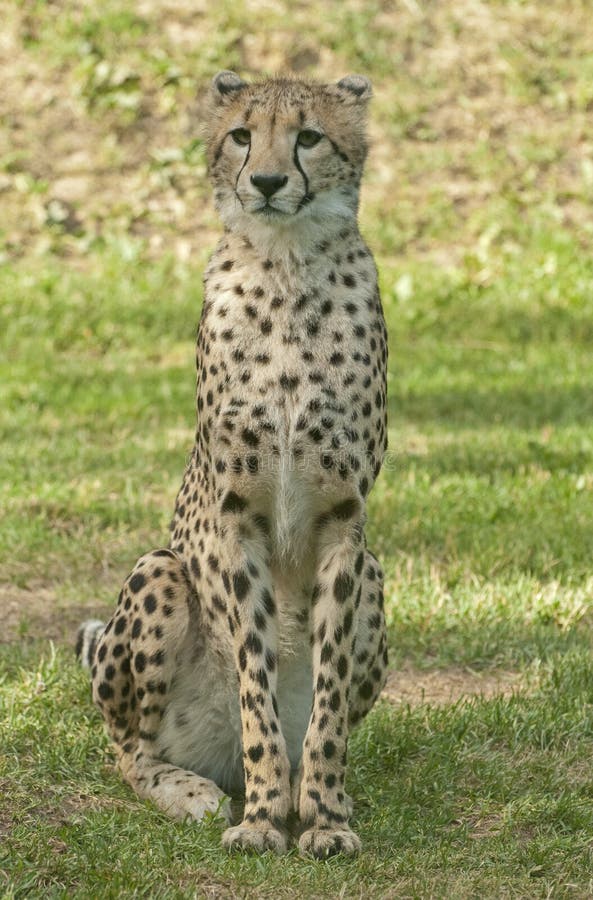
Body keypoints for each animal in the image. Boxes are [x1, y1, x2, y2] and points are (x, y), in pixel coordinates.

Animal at [77, 70, 389, 858]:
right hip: (157, 570)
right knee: (127, 751)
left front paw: (323, 816)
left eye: (308, 136)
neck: (287, 268)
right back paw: (189, 789)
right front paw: (262, 817)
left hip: (377, 572)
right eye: (242, 134)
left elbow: (329, 696)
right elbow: (254, 677)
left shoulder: (345, 523)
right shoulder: (235, 521)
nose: (269, 181)